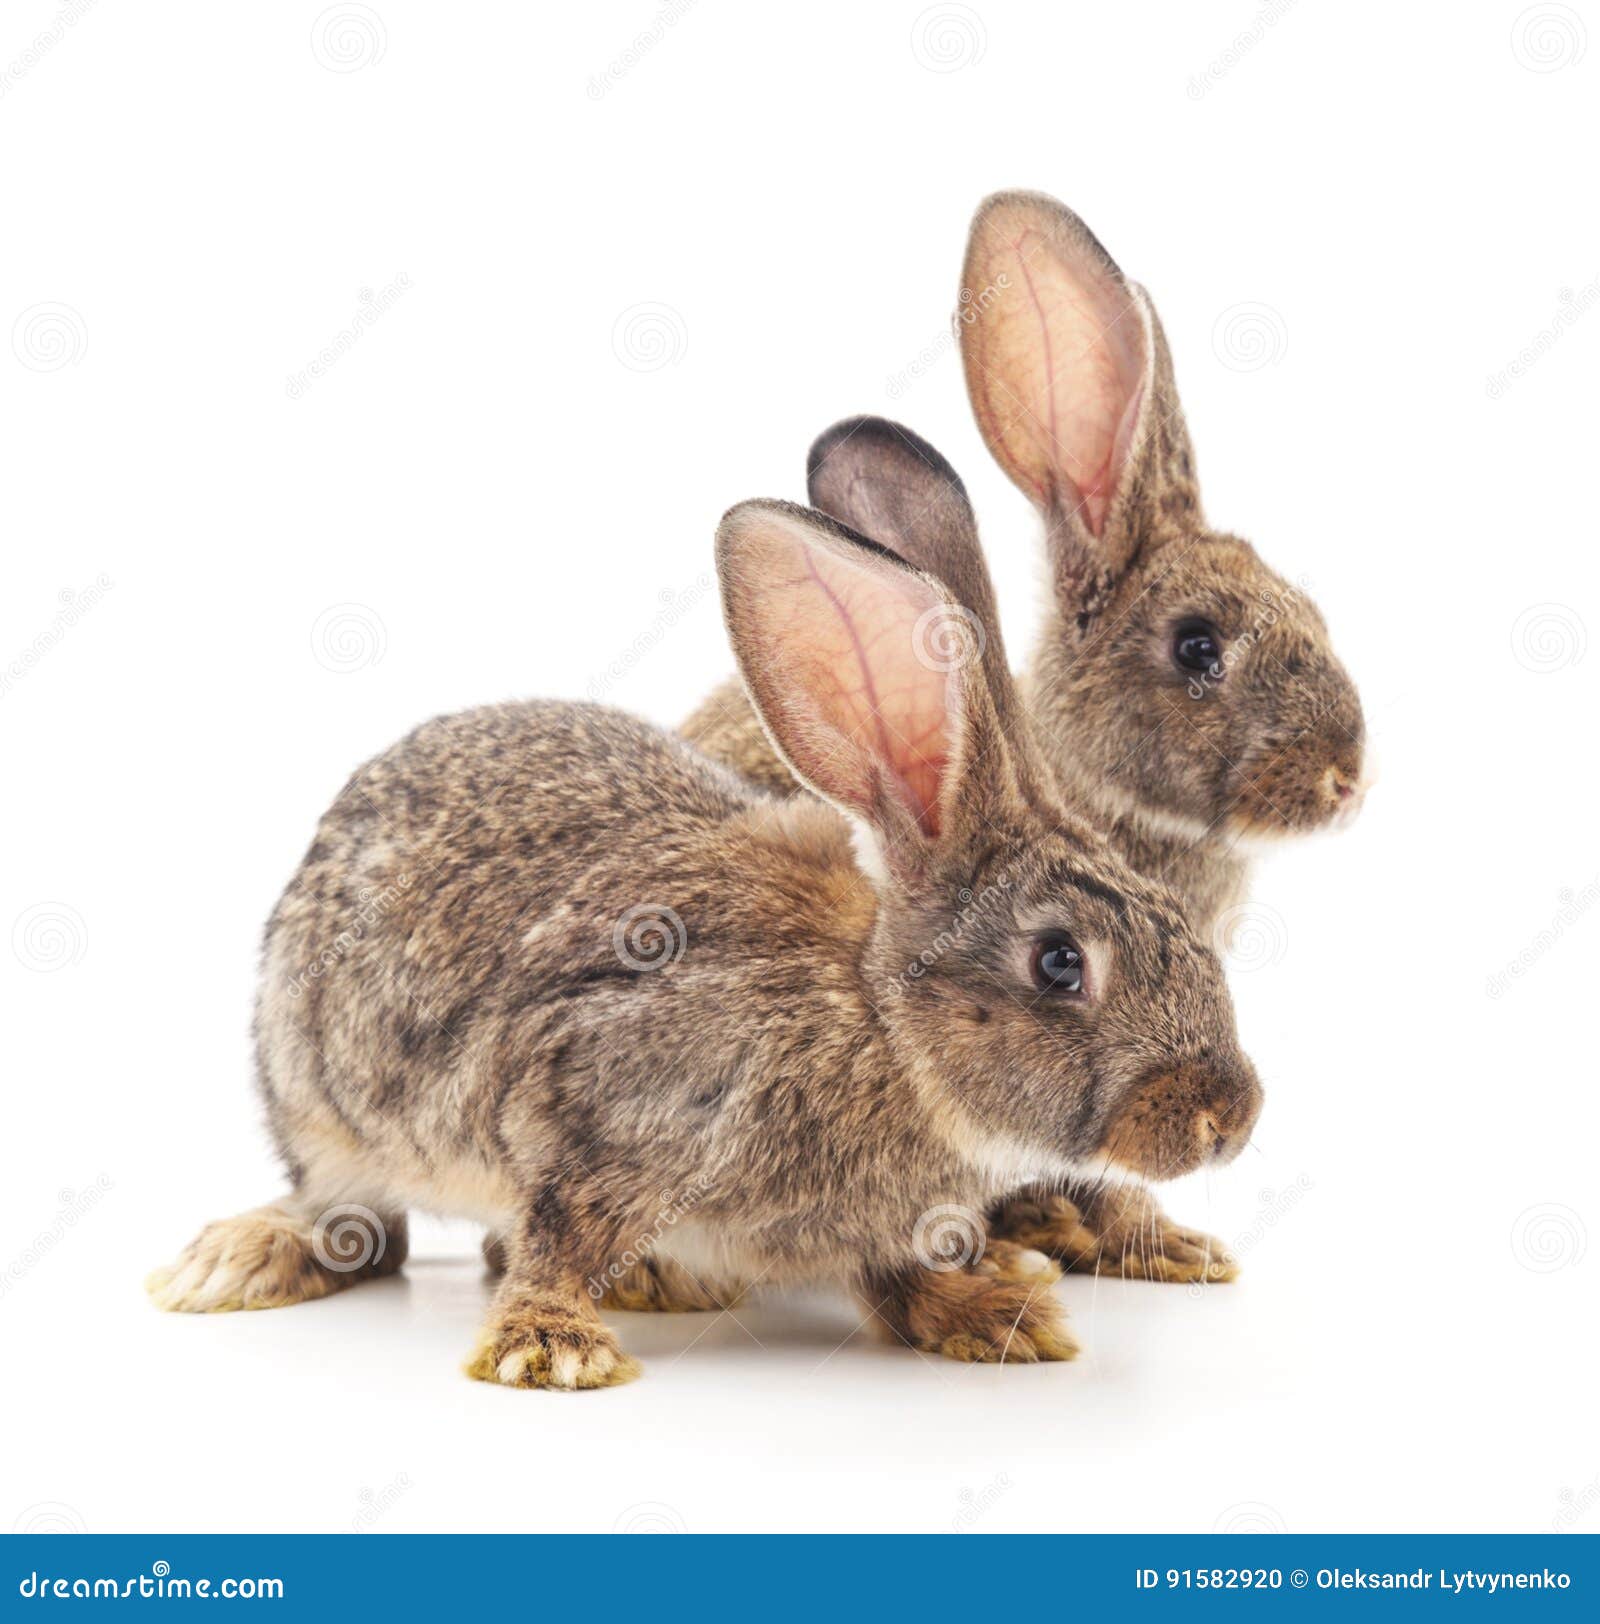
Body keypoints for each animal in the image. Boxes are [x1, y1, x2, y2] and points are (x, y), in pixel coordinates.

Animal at [148, 498, 1261, 1388]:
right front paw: (549, 1350)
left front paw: (997, 1319)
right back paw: (234, 1260)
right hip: (316, 1099)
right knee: (358, 1226)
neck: (877, 1023)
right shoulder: (588, 1103)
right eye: (1060, 963)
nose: (1231, 1117)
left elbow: (897, 1276)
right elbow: (555, 1234)